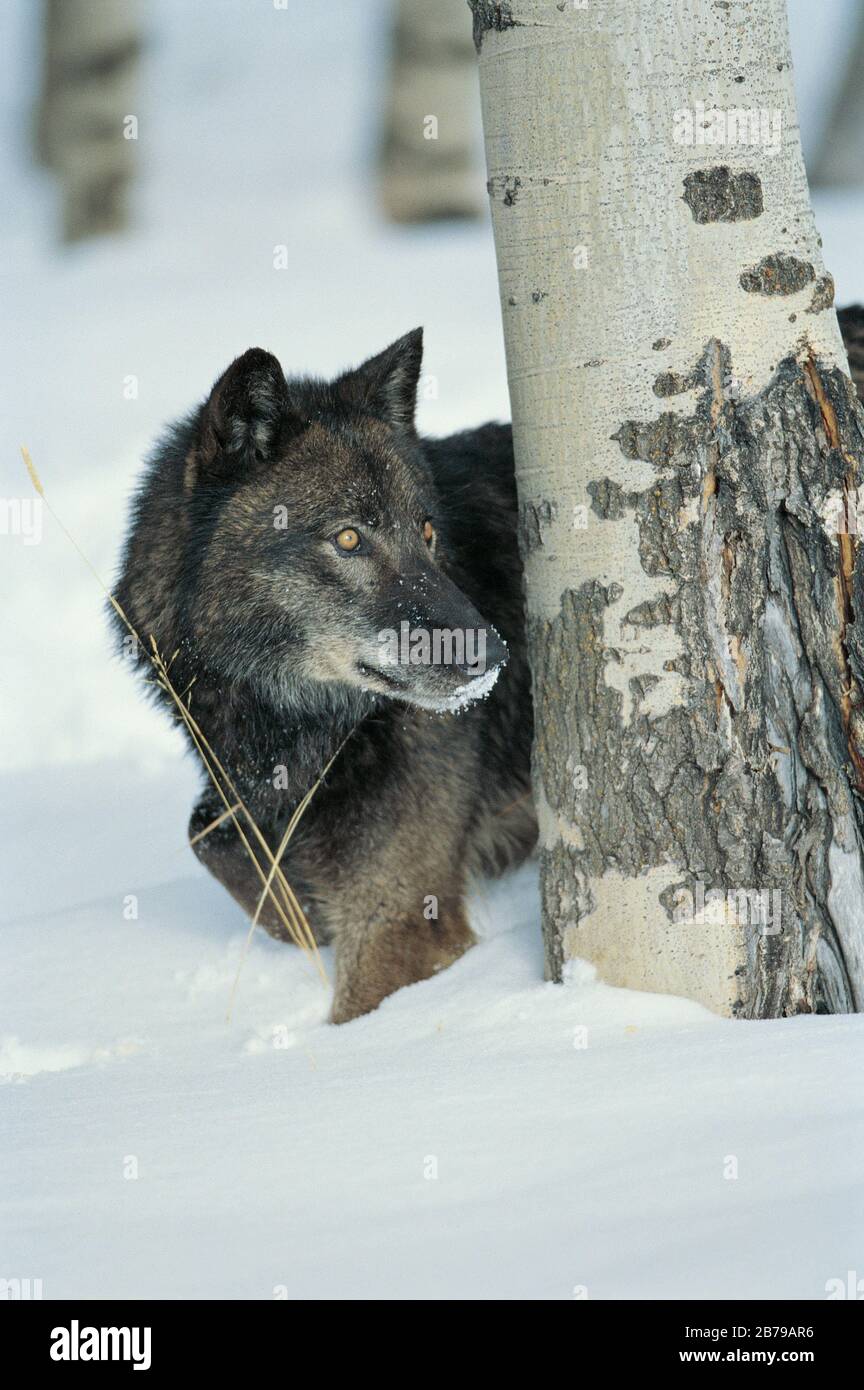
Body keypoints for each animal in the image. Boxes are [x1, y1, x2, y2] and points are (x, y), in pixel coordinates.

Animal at [114, 330, 537, 1022]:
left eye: (427, 530)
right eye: (348, 539)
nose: (494, 656)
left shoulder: (400, 920)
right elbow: (209, 834)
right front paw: (302, 909)